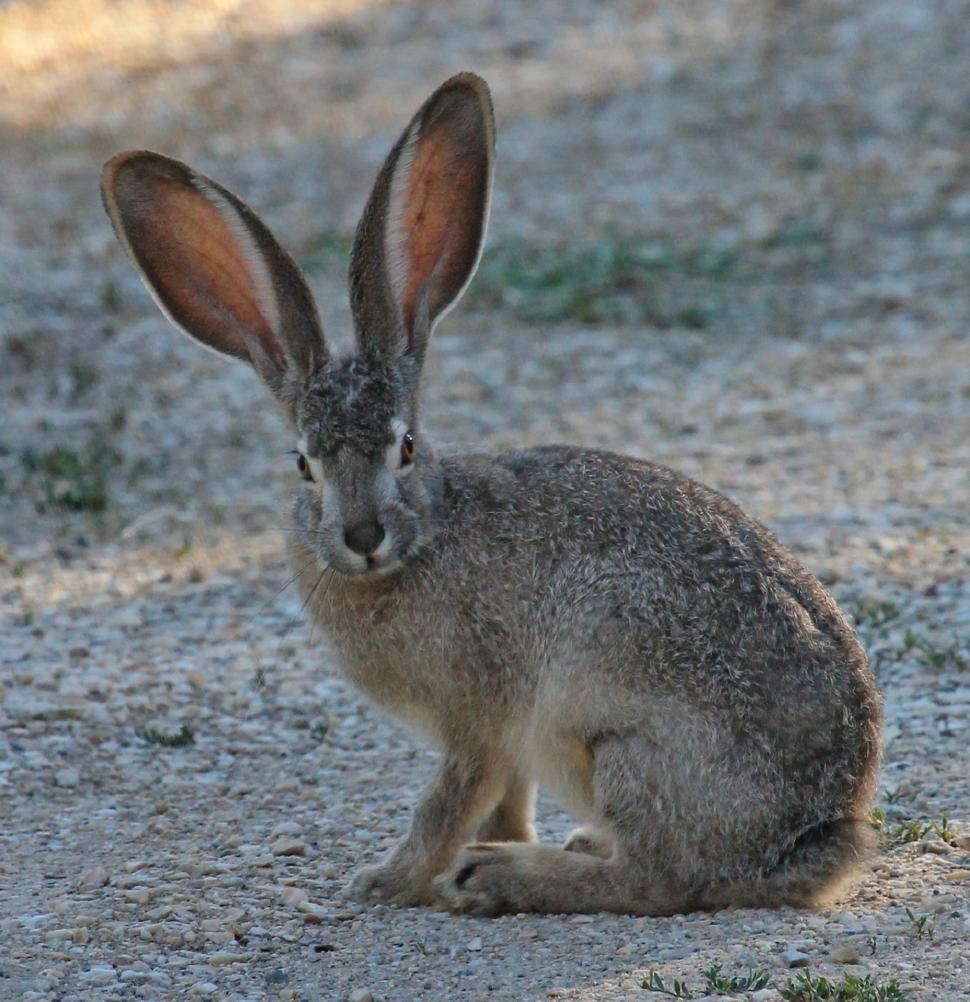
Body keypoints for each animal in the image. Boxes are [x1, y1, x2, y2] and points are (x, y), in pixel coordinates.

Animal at [100, 72, 882, 916]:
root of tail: (821, 834)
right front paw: (474, 852)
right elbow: (502, 800)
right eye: (303, 464)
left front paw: (392, 880)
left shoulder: (481, 713)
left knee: (664, 877)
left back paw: (506, 876)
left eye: (406, 446)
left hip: (623, 743)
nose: (363, 535)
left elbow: (449, 799)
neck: (424, 538)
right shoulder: (500, 737)